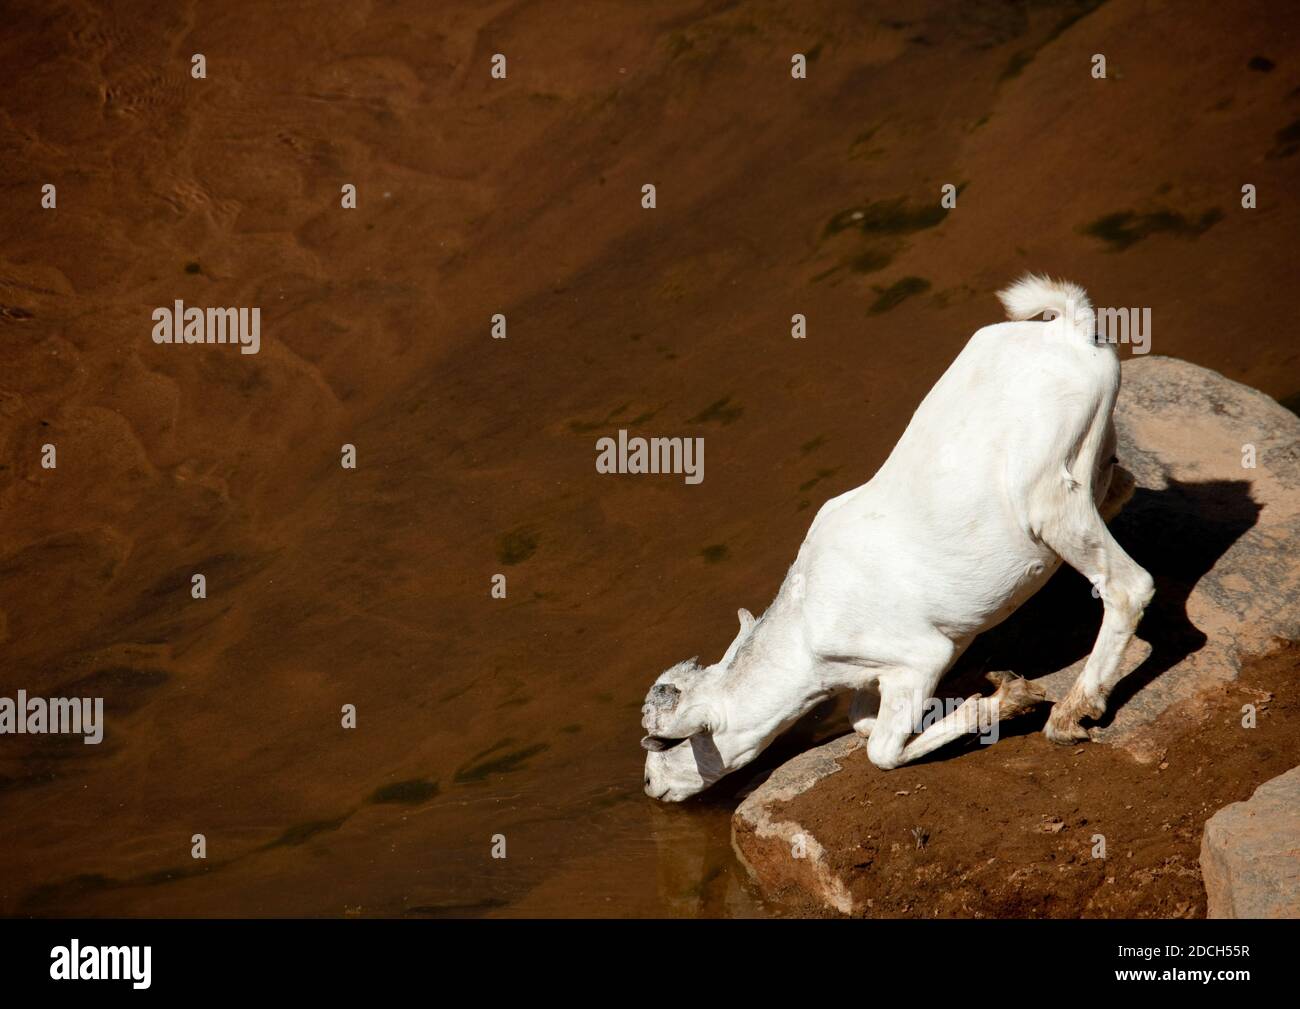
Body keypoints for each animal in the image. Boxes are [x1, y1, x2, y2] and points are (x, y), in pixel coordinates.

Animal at [642, 275, 1154, 801]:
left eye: (662, 743)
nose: (650, 785)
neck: (806, 628)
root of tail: (1070, 328)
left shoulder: (921, 657)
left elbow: (881, 750)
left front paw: (1011, 696)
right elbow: (861, 721)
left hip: (1049, 503)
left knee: (1127, 587)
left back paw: (1070, 715)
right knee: (1121, 488)